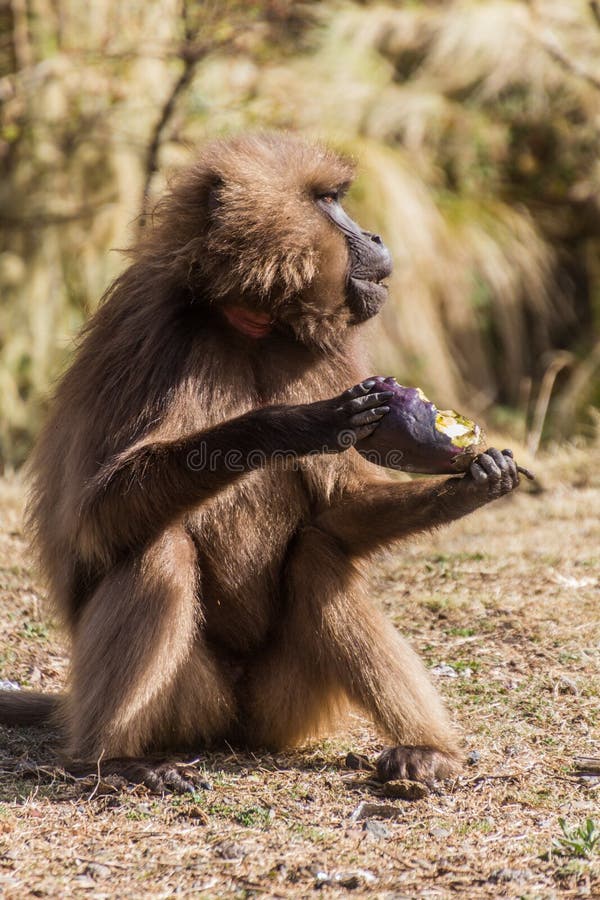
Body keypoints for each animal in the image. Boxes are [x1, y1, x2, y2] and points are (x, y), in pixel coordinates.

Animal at [0, 133, 524, 791]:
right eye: (329, 202)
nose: (375, 235)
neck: (249, 322)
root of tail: (236, 724)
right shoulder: (142, 333)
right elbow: (94, 514)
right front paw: (288, 425)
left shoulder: (324, 355)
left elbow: (338, 508)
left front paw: (475, 483)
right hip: (185, 701)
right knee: (160, 550)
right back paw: (113, 761)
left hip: (289, 705)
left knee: (318, 559)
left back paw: (424, 751)